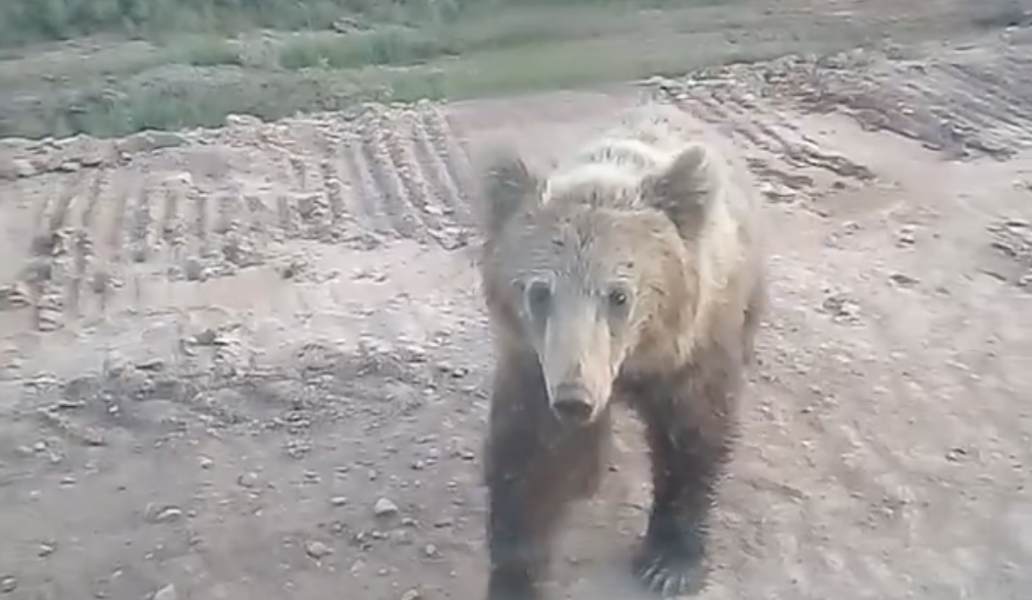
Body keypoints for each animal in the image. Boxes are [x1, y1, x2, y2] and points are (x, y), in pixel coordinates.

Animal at [474, 101, 767, 600]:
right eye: (539, 292)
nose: (575, 398)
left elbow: (695, 435)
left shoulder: (694, 350)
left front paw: (669, 562)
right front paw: (517, 575)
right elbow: (532, 458)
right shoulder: (536, 364)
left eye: (619, 295)